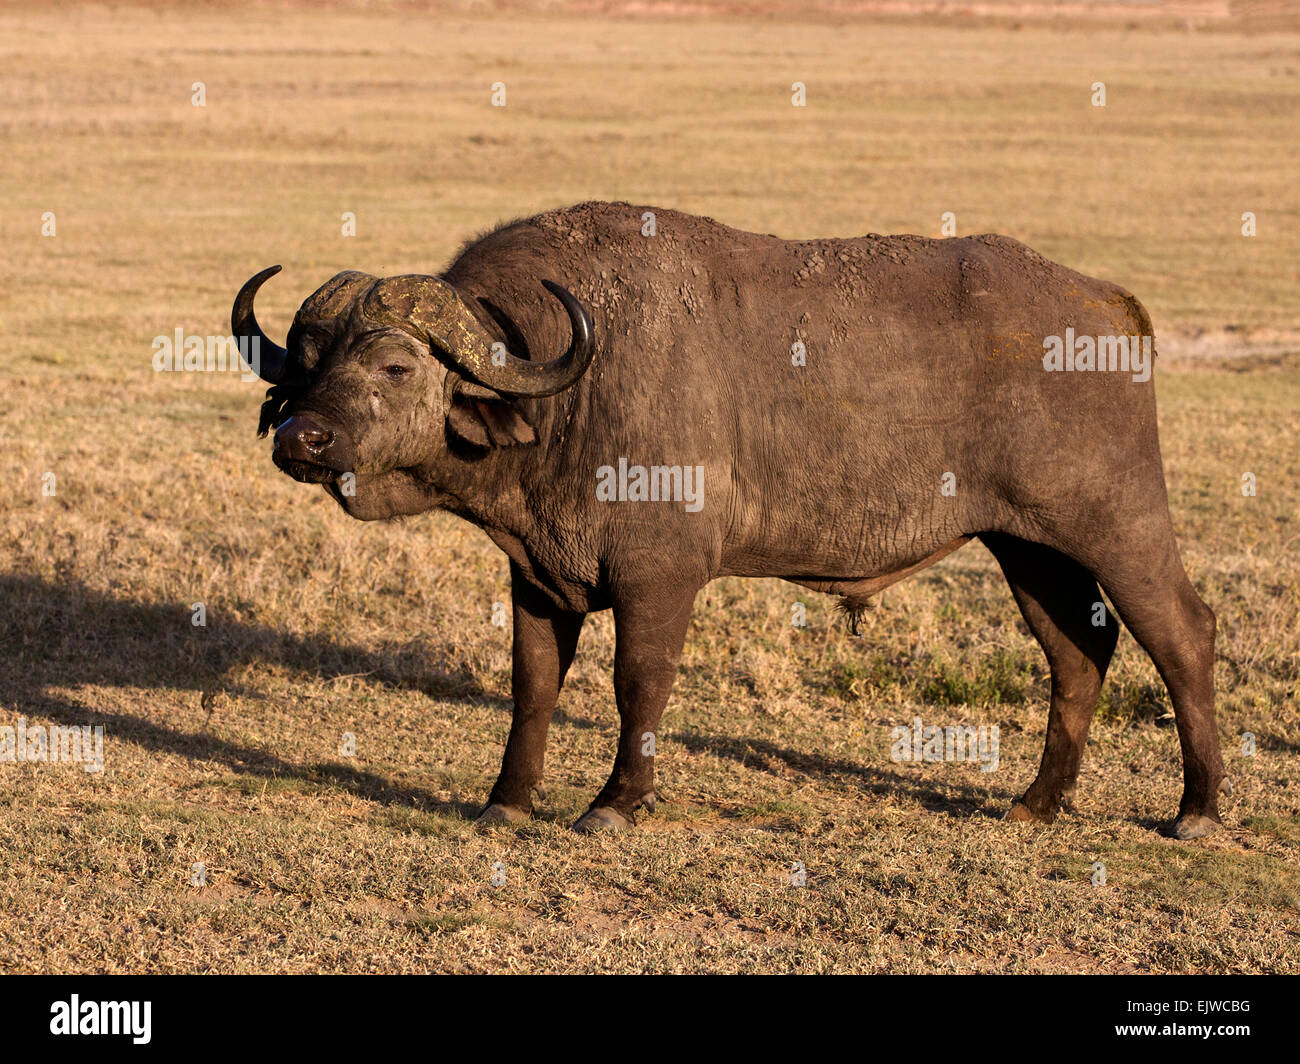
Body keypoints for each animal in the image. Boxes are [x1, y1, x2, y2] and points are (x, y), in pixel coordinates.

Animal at [231, 201, 1229, 839]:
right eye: (311, 360)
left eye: (396, 366)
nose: (301, 437)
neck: (571, 394)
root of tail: (1110, 305)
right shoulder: (537, 578)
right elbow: (532, 686)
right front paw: (505, 801)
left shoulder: (660, 578)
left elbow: (639, 684)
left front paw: (616, 802)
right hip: (1028, 547)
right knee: (1079, 652)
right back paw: (1038, 802)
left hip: (1117, 523)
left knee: (1182, 633)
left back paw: (1198, 808)